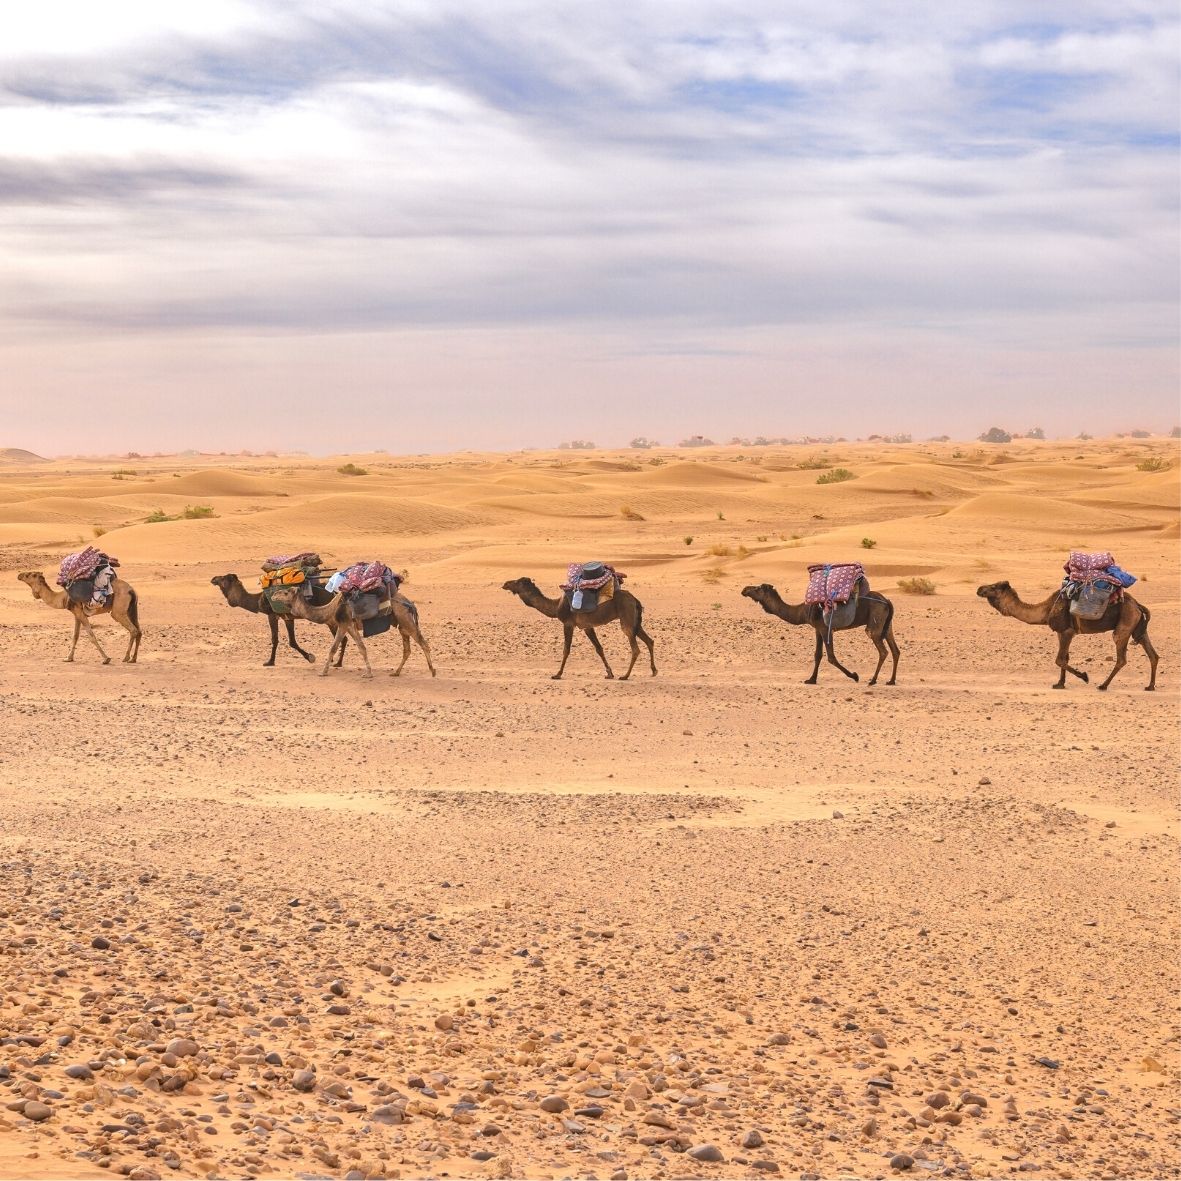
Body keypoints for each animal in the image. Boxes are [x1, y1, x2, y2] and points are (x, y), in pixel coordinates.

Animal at [501, 576, 656, 680]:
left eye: (518, 582)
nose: (505, 583)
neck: (556, 606)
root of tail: (635, 600)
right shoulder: (587, 627)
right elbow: (599, 649)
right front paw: (609, 673)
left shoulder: (568, 623)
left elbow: (566, 650)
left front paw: (557, 674)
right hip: (636, 622)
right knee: (649, 641)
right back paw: (654, 671)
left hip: (627, 619)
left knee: (635, 648)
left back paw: (625, 675)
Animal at [741, 582, 899, 685]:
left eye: (758, 588)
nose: (744, 589)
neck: (802, 611)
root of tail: (887, 601)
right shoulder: (817, 629)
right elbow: (817, 655)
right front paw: (811, 679)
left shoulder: (824, 628)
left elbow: (831, 657)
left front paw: (854, 676)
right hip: (887, 625)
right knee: (895, 650)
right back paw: (891, 681)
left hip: (875, 623)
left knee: (883, 651)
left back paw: (873, 680)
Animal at [976, 581, 1158, 691]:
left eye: (993, 587)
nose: (979, 589)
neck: (1046, 610)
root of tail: (1138, 605)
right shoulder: (1061, 632)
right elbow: (1064, 658)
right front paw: (1059, 683)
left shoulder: (1067, 632)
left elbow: (1059, 659)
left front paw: (1084, 676)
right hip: (1138, 628)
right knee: (1153, 655)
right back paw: (1150, 686)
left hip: (1124, 626)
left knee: (1121, 658)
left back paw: (1103, 685)